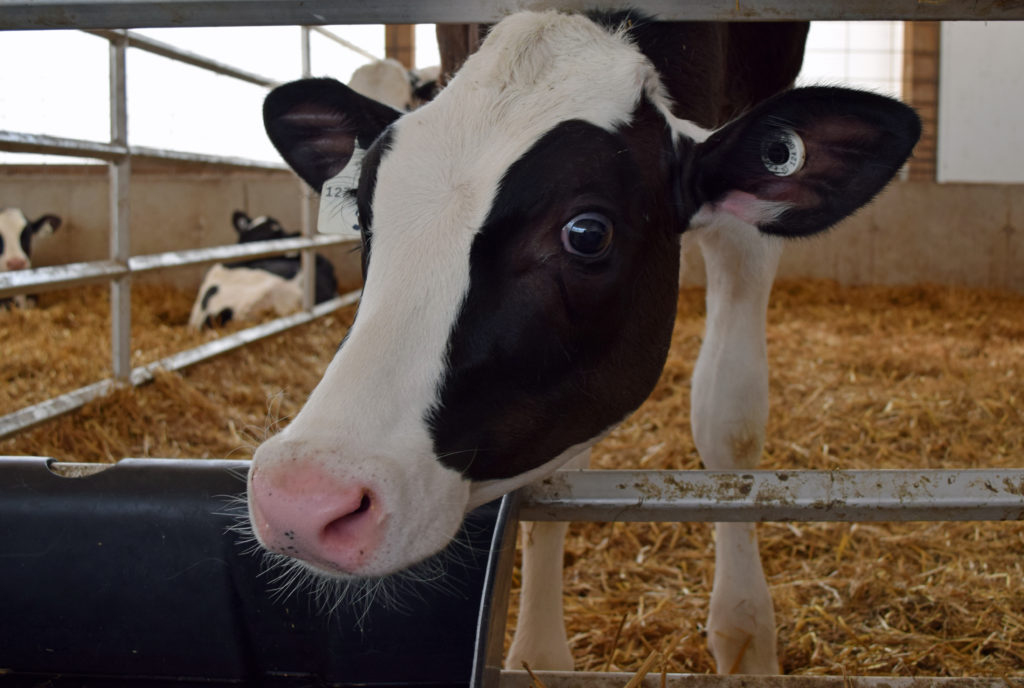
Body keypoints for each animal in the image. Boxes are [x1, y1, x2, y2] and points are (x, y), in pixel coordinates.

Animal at [245, 10, 920, 675]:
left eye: (587, 233)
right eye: (364, 216)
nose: (302, 498)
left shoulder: (749, 217)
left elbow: (730, 422)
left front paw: (746, 633)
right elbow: (558, 473)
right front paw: (539, 657)